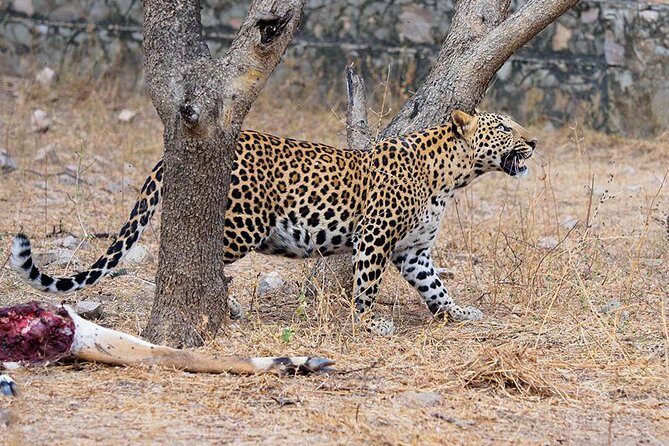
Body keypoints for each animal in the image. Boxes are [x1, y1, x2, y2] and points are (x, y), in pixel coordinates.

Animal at [9, 110, 536, 335]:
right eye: (505, 126)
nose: (534, 142)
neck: (453, 177)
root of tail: (169, 155)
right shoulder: (376, 237)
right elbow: (366, 285)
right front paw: (368, 324)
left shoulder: (413, 250)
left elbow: (435, 286)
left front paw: (457, 313)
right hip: (242, 225)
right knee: (194, 256)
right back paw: (222, 307)